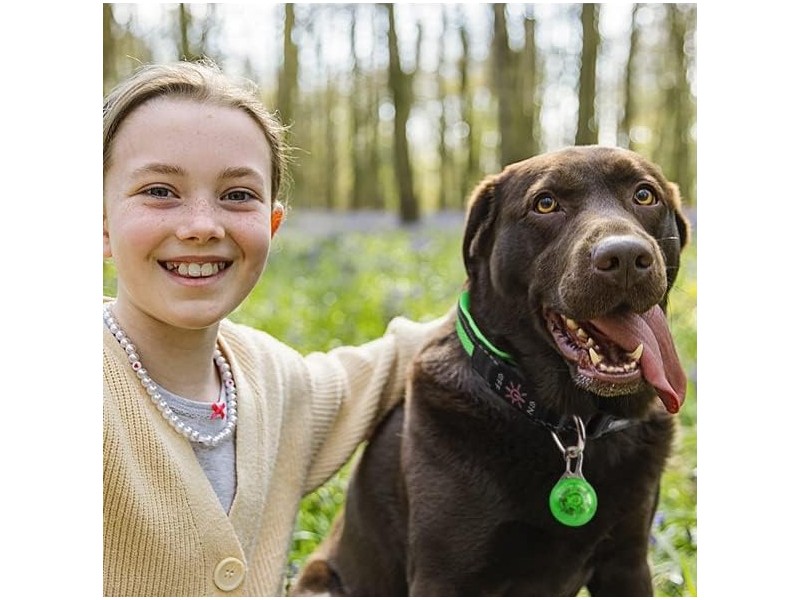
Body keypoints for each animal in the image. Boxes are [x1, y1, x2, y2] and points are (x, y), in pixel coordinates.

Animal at [290, 145, 692, 596]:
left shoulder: (627, 560)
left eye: (645, 195)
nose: (623, 256)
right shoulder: (445, 575)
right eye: (545, 203)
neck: (571, 426)